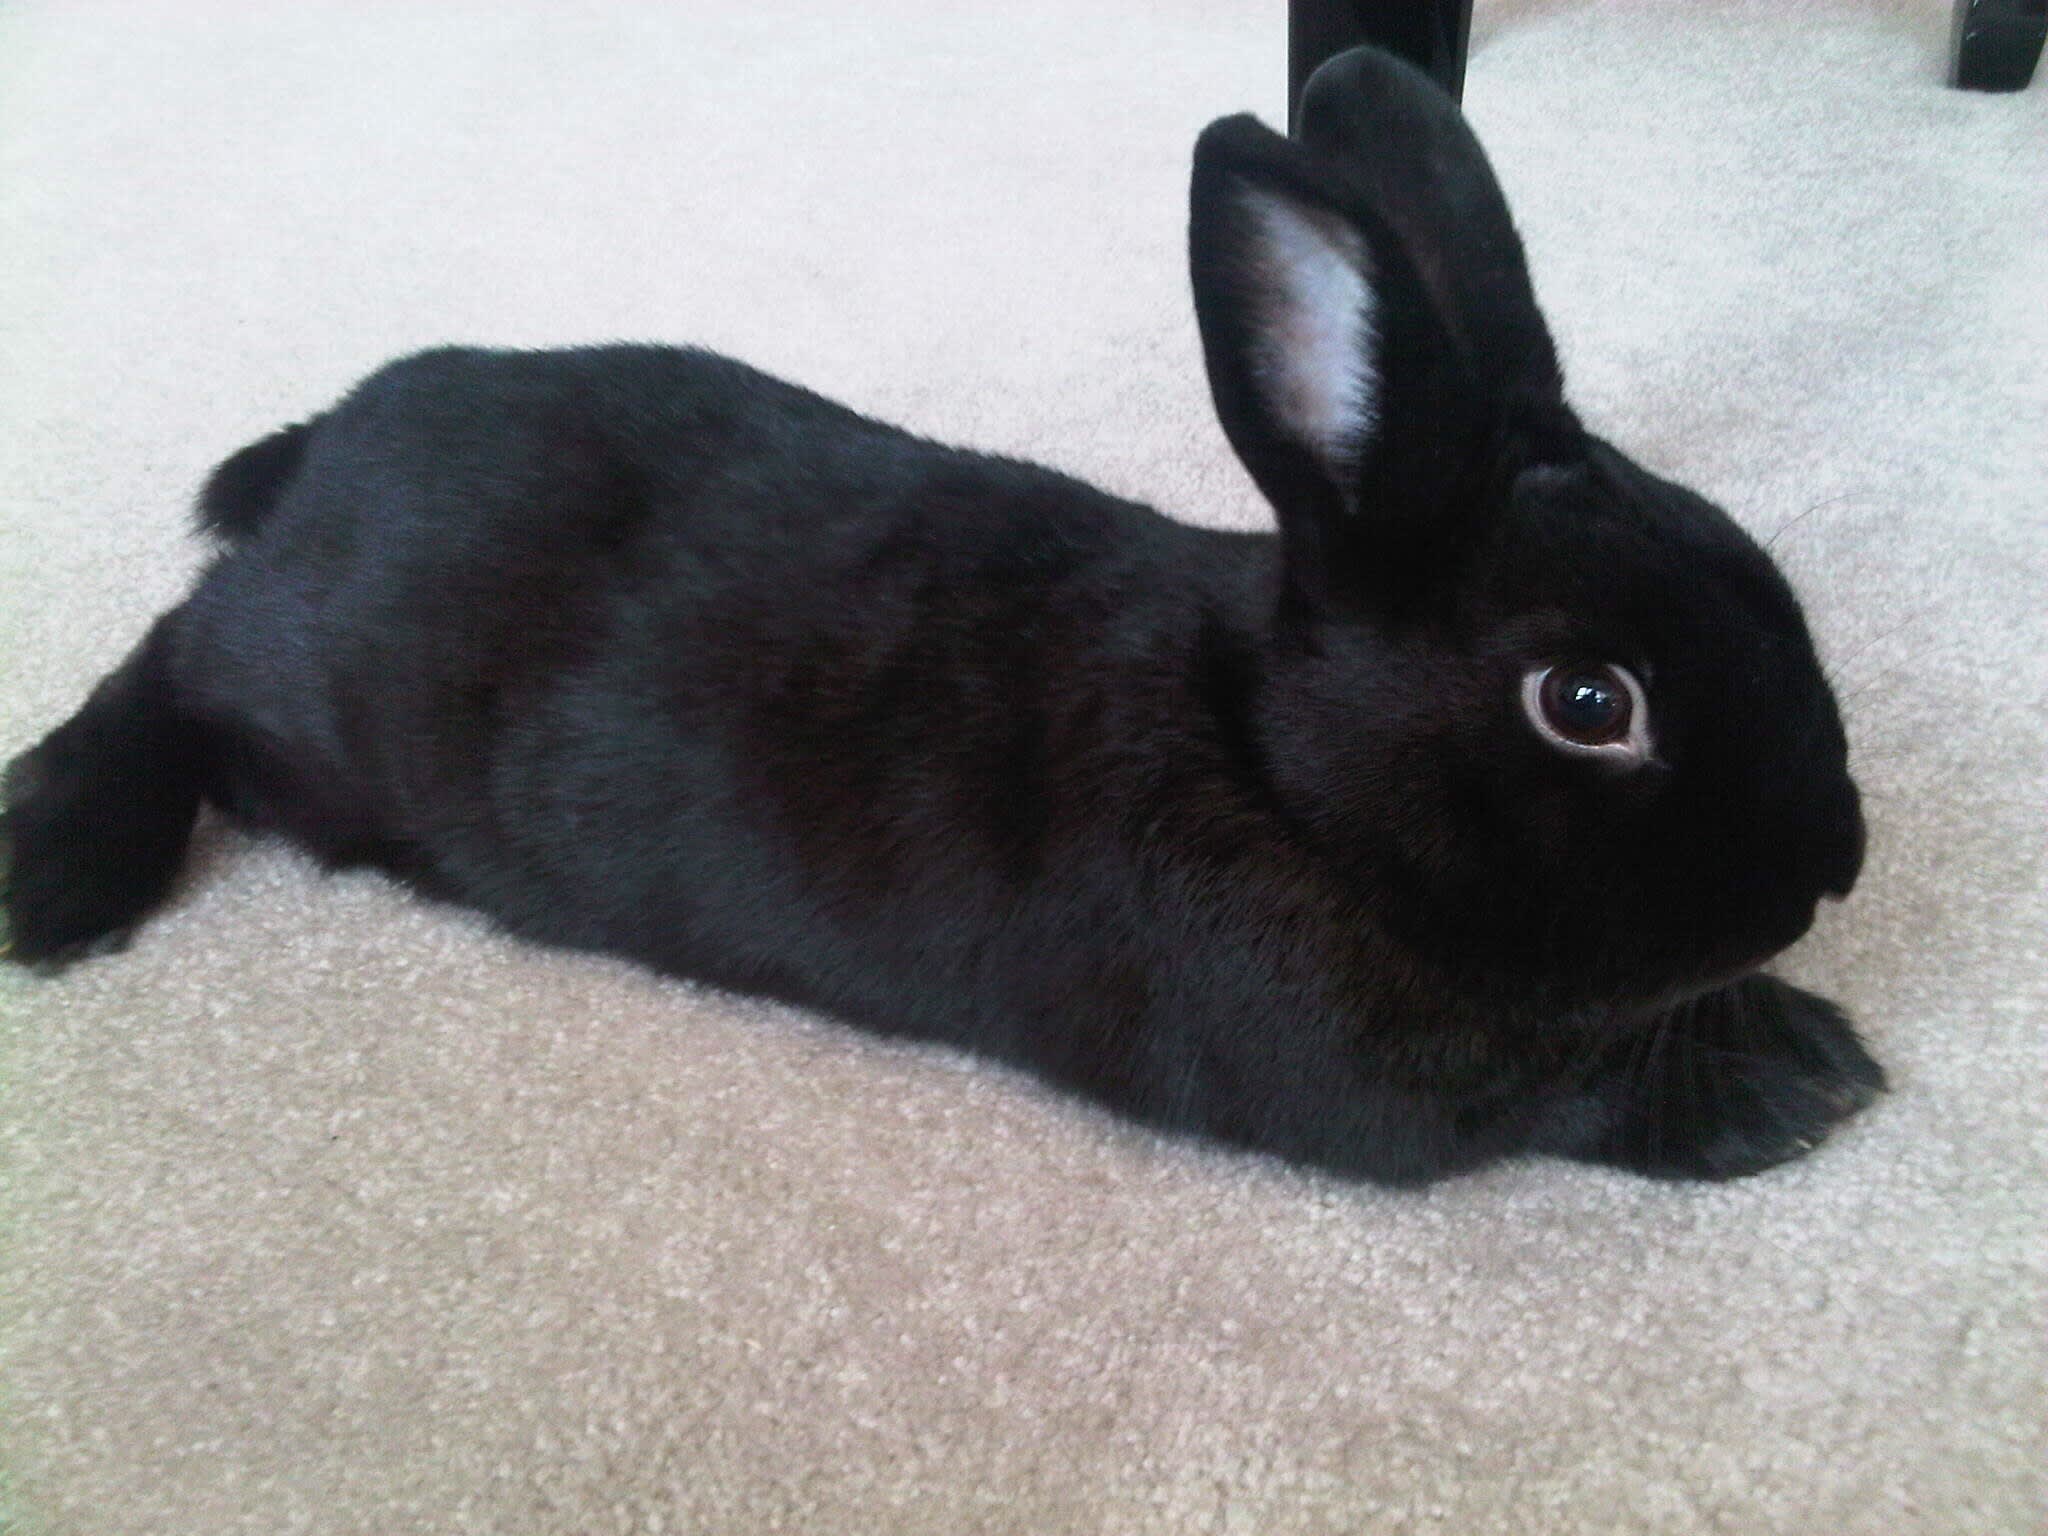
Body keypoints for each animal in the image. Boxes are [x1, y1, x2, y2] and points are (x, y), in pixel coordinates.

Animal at [0, 47, 1881, 1185]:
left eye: (1755, 572)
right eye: (1587, 701)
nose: (1834, 868)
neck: (1280, 772)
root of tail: (323, 452)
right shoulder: (1380, 1089)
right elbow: (1575, 1085)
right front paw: (1803, 1074)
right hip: (313, 703)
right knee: (174, 655)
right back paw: (57, 865)